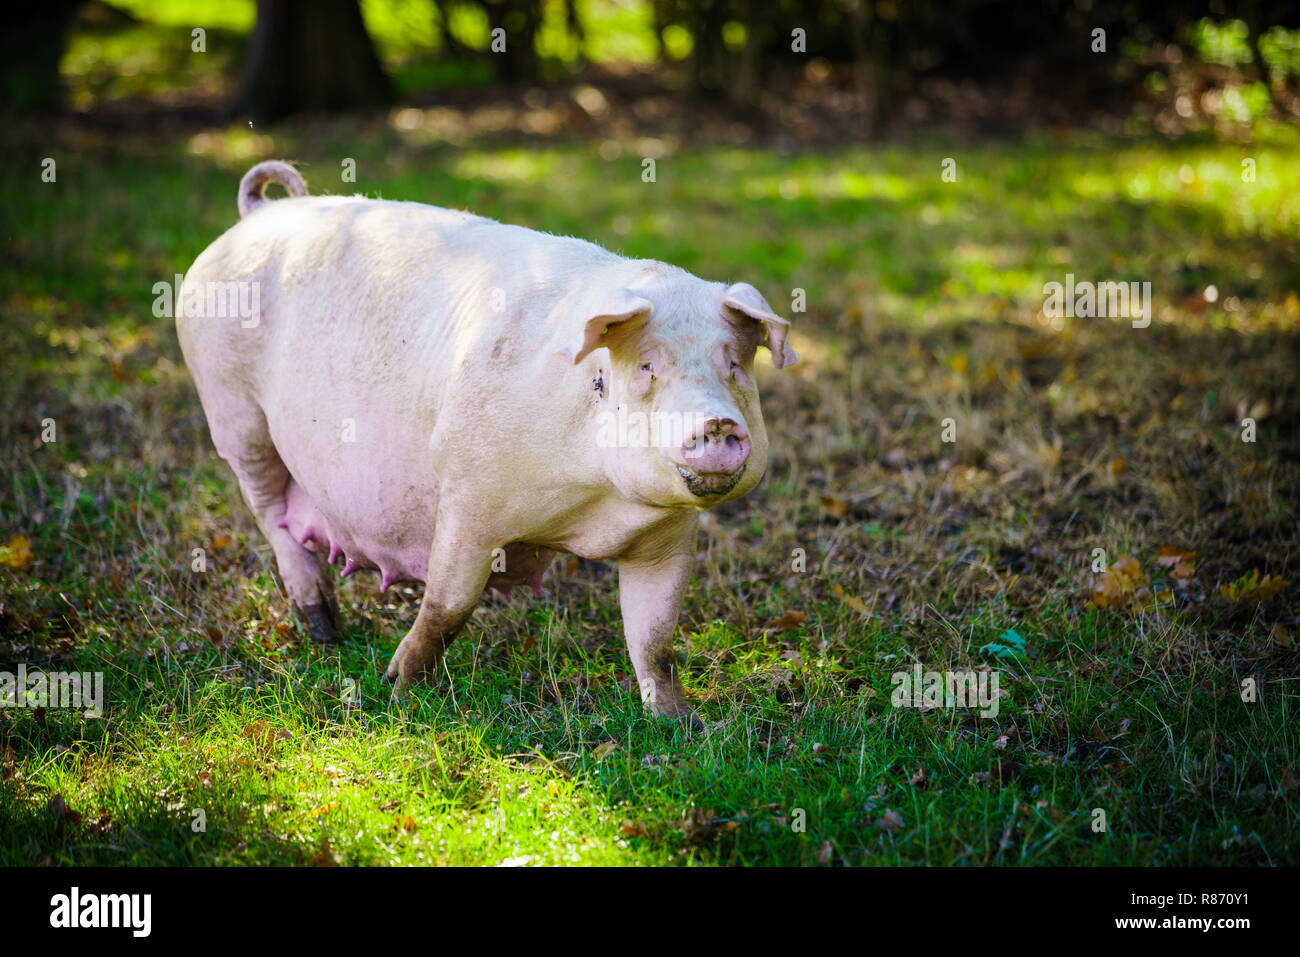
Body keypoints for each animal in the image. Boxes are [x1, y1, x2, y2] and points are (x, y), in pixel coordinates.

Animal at [176, 160, 797, 717]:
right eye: (647, 366)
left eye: (734, 365)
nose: (717, 423)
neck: (594, 505)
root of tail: (258, 213)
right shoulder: (466, 495)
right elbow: (446, 607)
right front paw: (398, 692)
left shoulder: (667, 538)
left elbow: (656, 639)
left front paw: (679, 723)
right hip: (233, 413)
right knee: (271, 514)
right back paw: (324, 629)